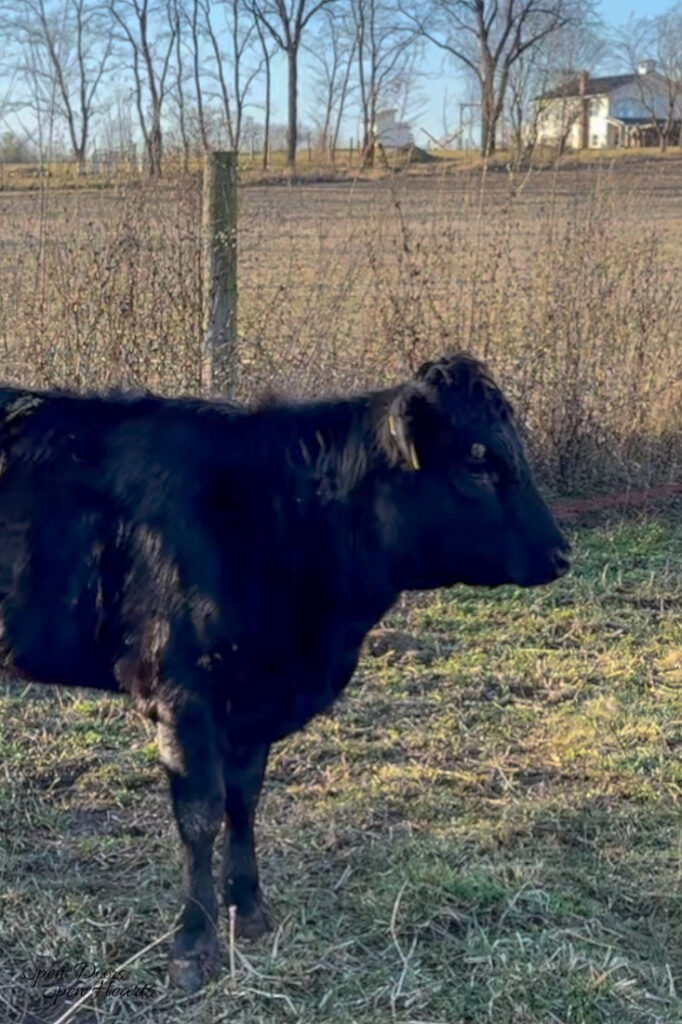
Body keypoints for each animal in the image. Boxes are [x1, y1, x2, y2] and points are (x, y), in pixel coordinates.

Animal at [0, 354, 569, 991]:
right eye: (476, 460)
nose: (560, 553)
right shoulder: (183, 693)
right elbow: (200, 815)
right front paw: (192, 944)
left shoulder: (254, 702)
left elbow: (243, 800)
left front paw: (249, 909)